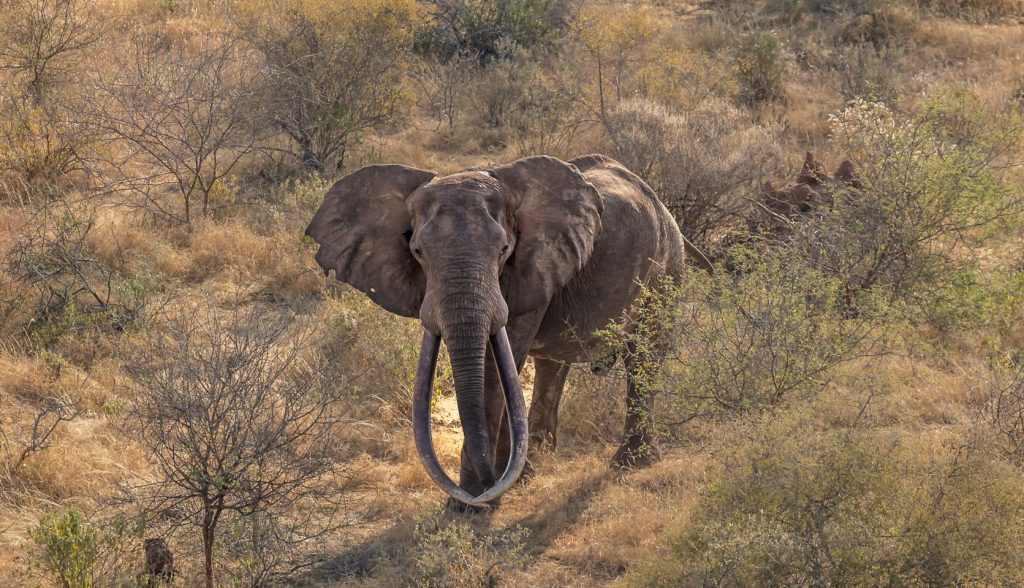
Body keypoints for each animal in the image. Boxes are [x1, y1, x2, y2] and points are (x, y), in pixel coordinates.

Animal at [305, 154, 712, 507]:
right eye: (417, 251)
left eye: (504, 249)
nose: (482, 488)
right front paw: (489, 494)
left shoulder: (532, 264)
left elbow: (498, 368)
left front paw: (474, 506)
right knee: (553, 365)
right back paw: (535, 466)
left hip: (666, 264)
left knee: (645, 355)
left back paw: (631, 464)